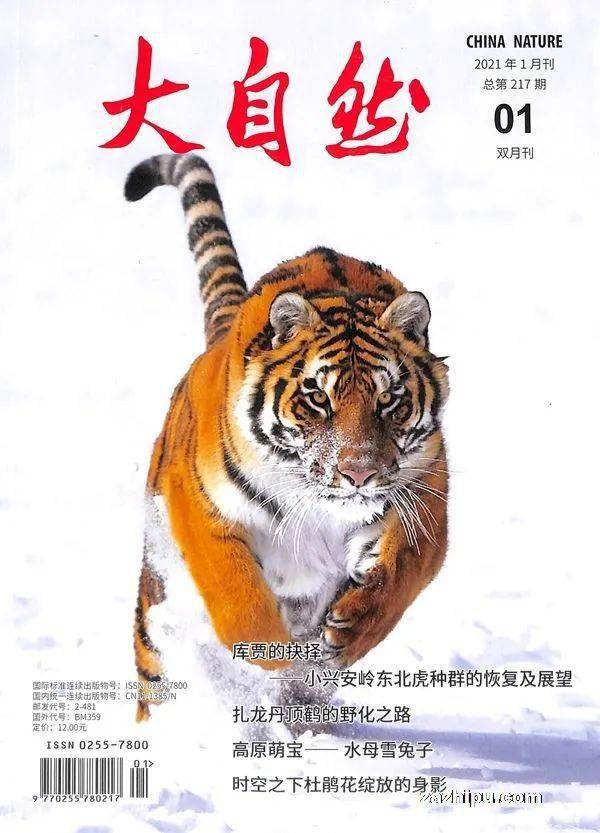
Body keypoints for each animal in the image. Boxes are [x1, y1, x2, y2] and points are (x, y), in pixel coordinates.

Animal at [126, 153, 449, 721]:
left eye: (389, 399)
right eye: (318, 397)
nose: (358, 473)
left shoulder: (427, 495)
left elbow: (401, 569)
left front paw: (347, 632)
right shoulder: (200, 503)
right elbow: (237, 596)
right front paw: (276, 659)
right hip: (156, 610)